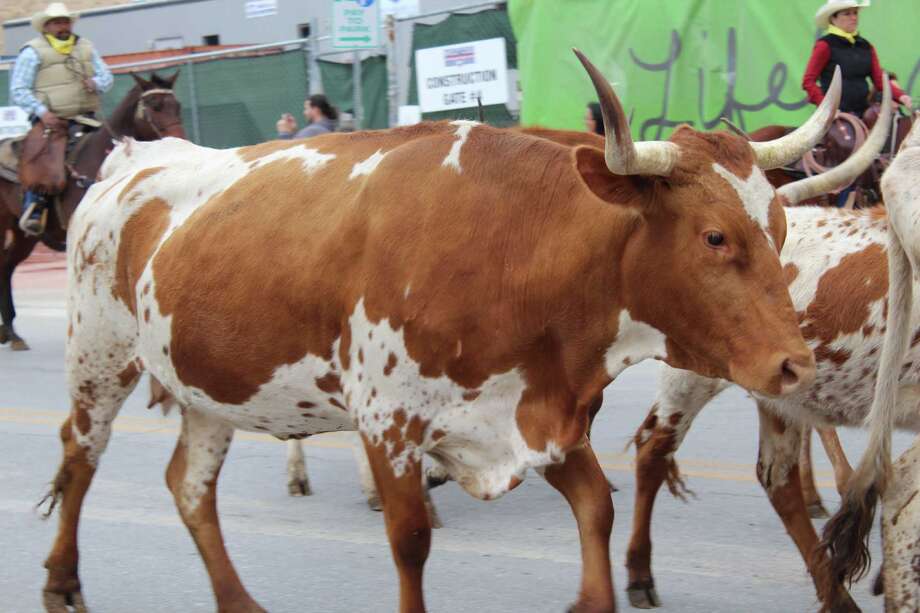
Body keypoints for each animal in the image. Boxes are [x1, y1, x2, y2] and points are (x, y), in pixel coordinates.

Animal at [43, 50, 836, 613]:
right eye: (713, 236)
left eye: (781, 228)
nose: (796, 366)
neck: (513, 244)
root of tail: (131, 163)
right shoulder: (388, 424)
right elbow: (411, 541)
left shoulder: (533, 415)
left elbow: (597, 509)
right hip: (99, 357)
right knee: (80, 455)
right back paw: (60, 580)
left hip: (203, 387)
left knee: (189, 487)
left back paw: (238, 601)